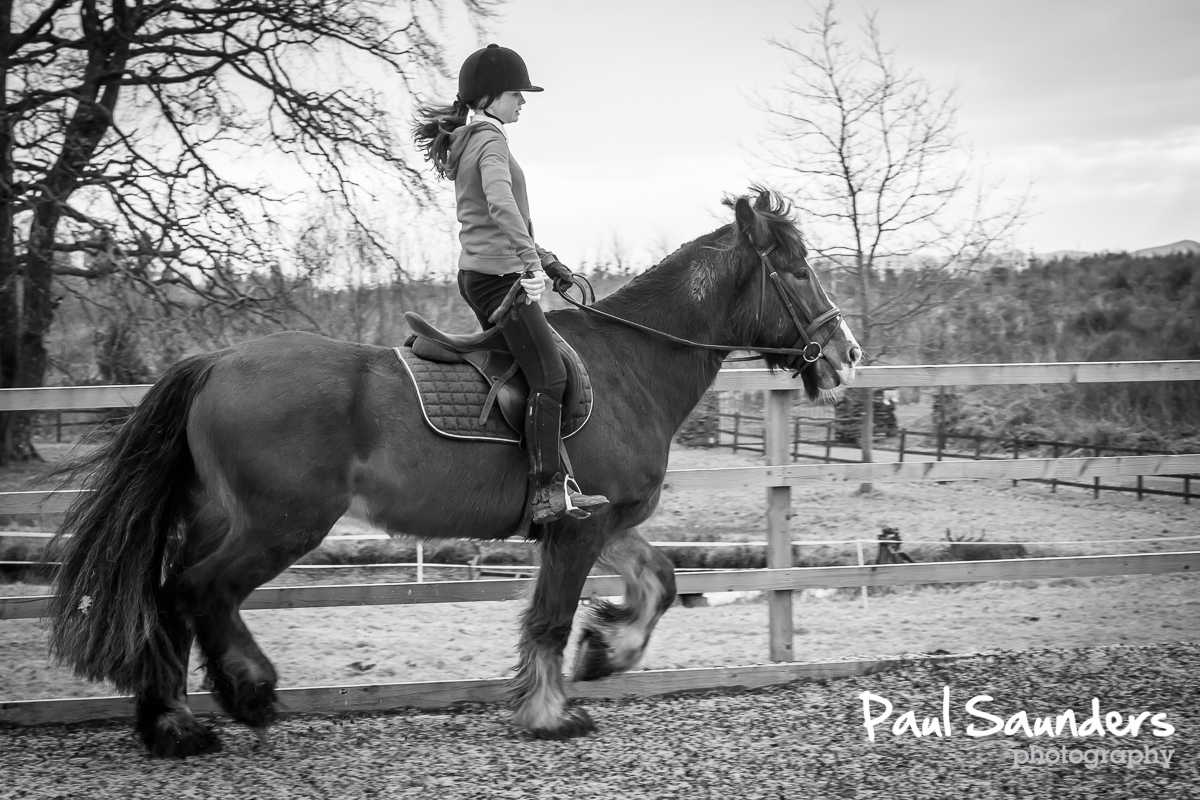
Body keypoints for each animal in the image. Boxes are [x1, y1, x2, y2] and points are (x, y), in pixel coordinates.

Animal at [46, 188, 862, 758]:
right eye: (796, 271)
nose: (846, 354)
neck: (630, 364)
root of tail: (215, 361)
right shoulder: (579, 527)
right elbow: (551, 615)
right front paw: (550, 713)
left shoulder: (601, 518)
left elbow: (658, 582)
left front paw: (605, 652)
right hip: (281, 524)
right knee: (199, 590)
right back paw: (248, 693)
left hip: (222, 516)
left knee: (168, 595)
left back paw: (173, 726)